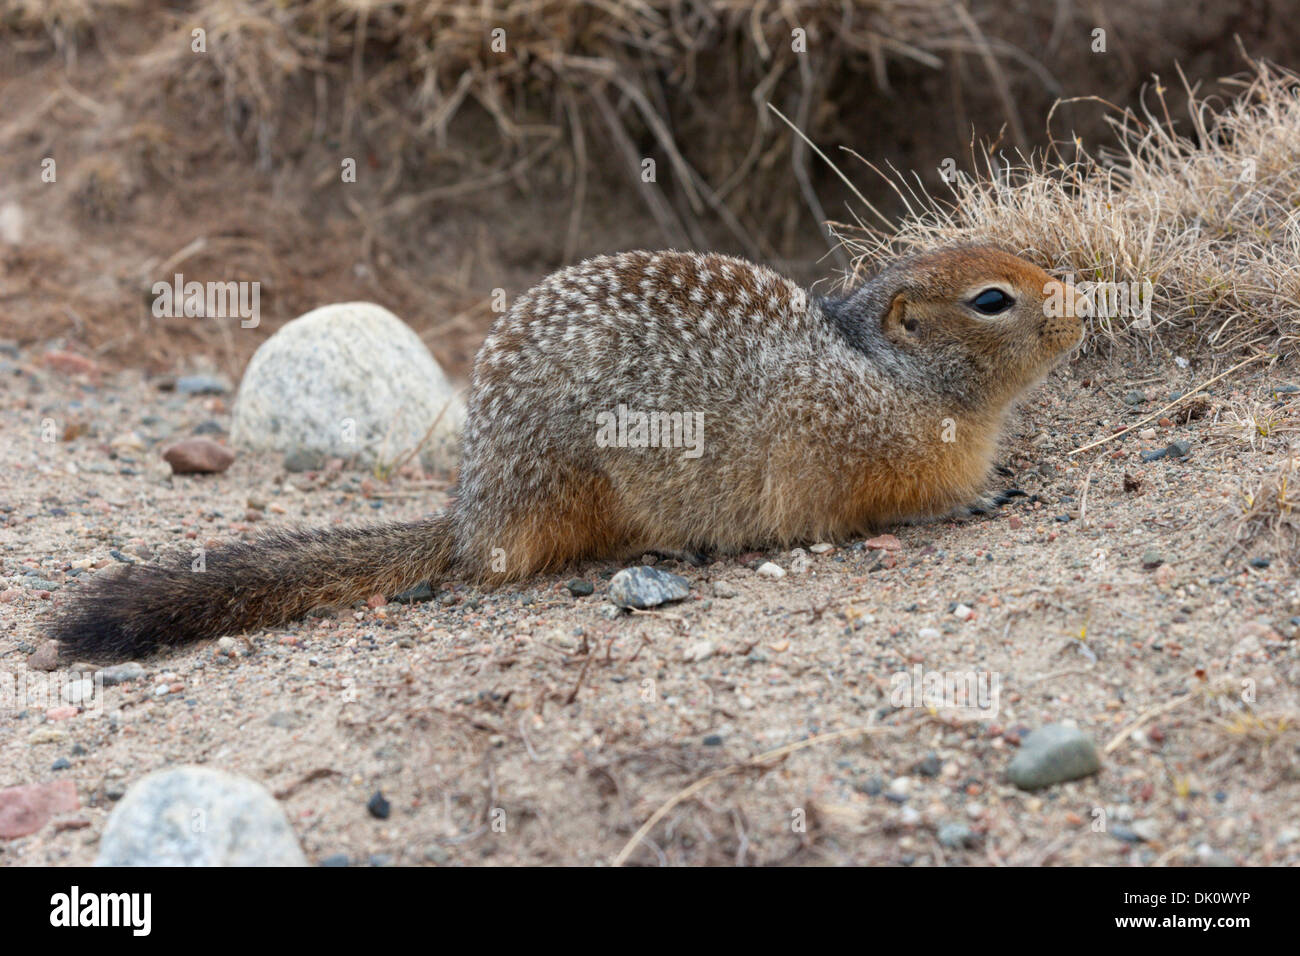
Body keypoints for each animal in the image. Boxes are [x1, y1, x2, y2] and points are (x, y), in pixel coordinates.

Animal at [50, 244, 1082, 660]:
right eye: (993, 300)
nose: (1080, 308)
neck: (890, 374)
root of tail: (473, 512)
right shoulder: (858, 452)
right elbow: (895, 502)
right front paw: (974, 498)